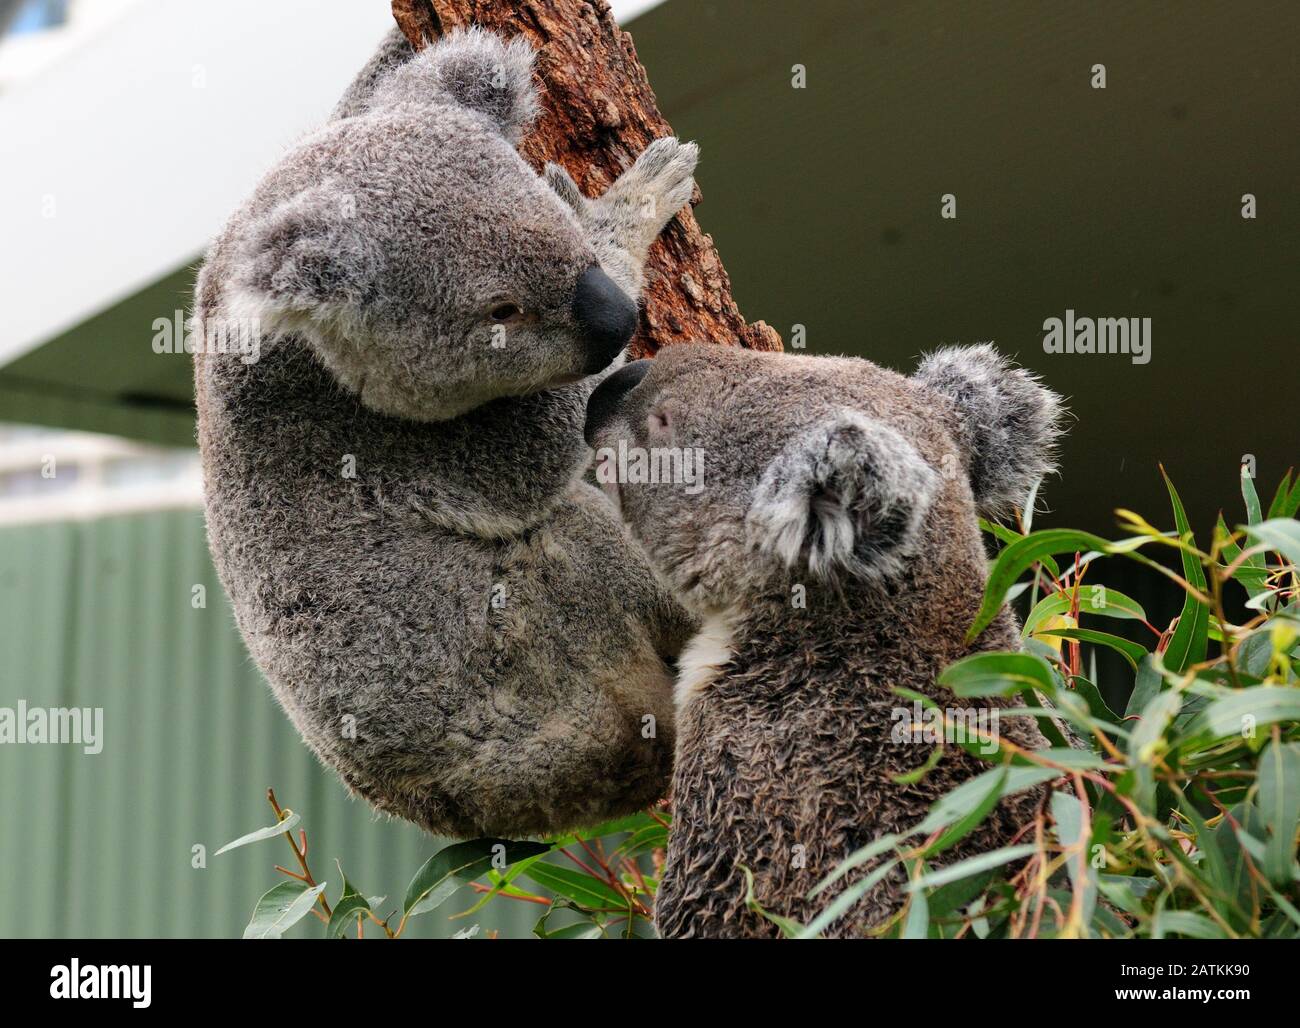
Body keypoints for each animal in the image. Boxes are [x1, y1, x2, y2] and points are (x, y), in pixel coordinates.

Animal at [192, 27, 700, 838]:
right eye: (502, 311)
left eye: (557, 236)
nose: (617, 318)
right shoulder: (374, 434)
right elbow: (533, 455)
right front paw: (631, 204)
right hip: (543, 638)